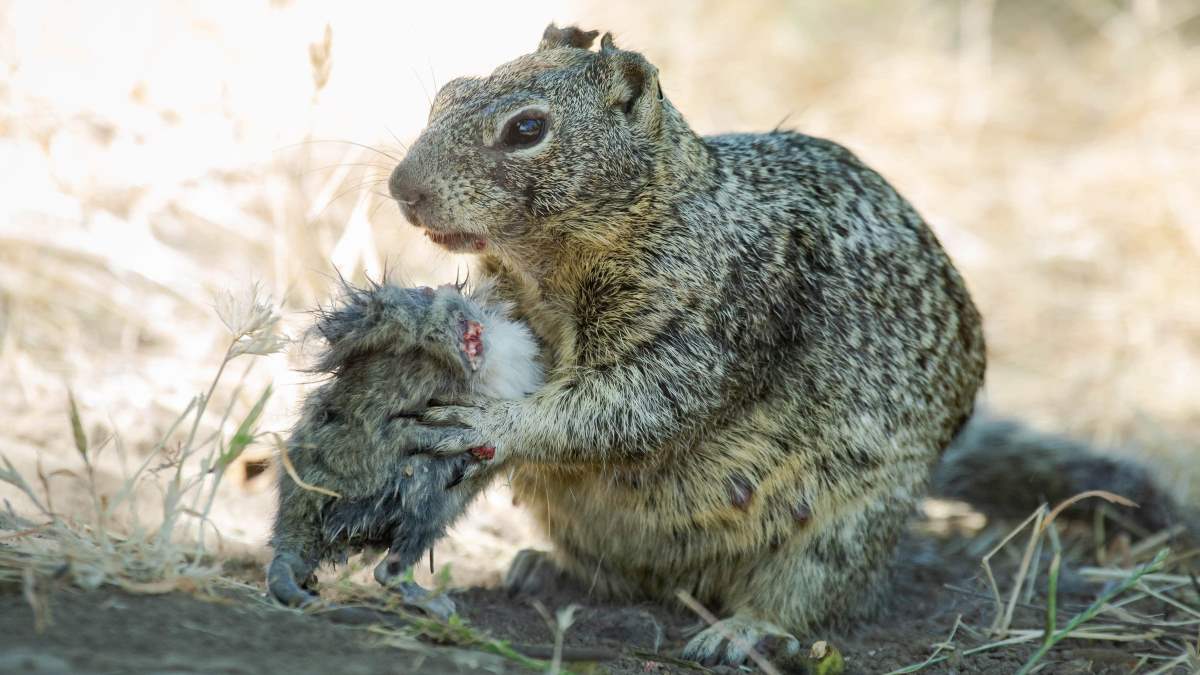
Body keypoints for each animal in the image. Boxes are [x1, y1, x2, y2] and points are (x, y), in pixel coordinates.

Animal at [384, 24, 1193, 666]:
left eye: (527, 129)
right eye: (445, 95)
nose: (401, 188)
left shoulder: (717, 323)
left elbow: (629, 406)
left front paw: (492, 421)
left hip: (841, 530)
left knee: (807, 599)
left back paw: (743, 631)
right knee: (629, 579)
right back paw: (547, 571)